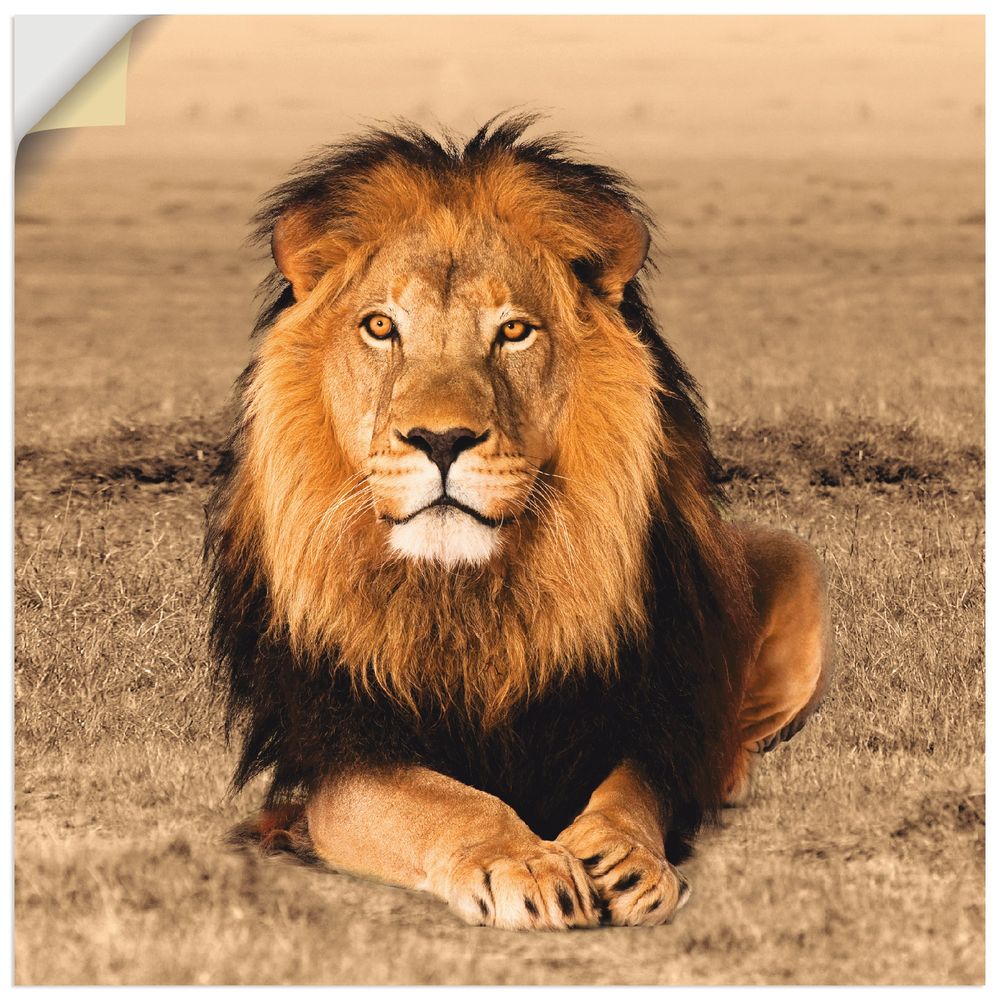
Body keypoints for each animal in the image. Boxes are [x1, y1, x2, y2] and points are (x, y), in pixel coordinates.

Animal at [206, 114, 833, 931]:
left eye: (513, 332)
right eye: (380, 326)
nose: (441, 439)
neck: (468, 595)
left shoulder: (636, 714)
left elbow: (633, 790)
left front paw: (623, 857)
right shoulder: (342, 749)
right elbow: (442, 801)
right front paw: (525, 862)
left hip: (794, 562)